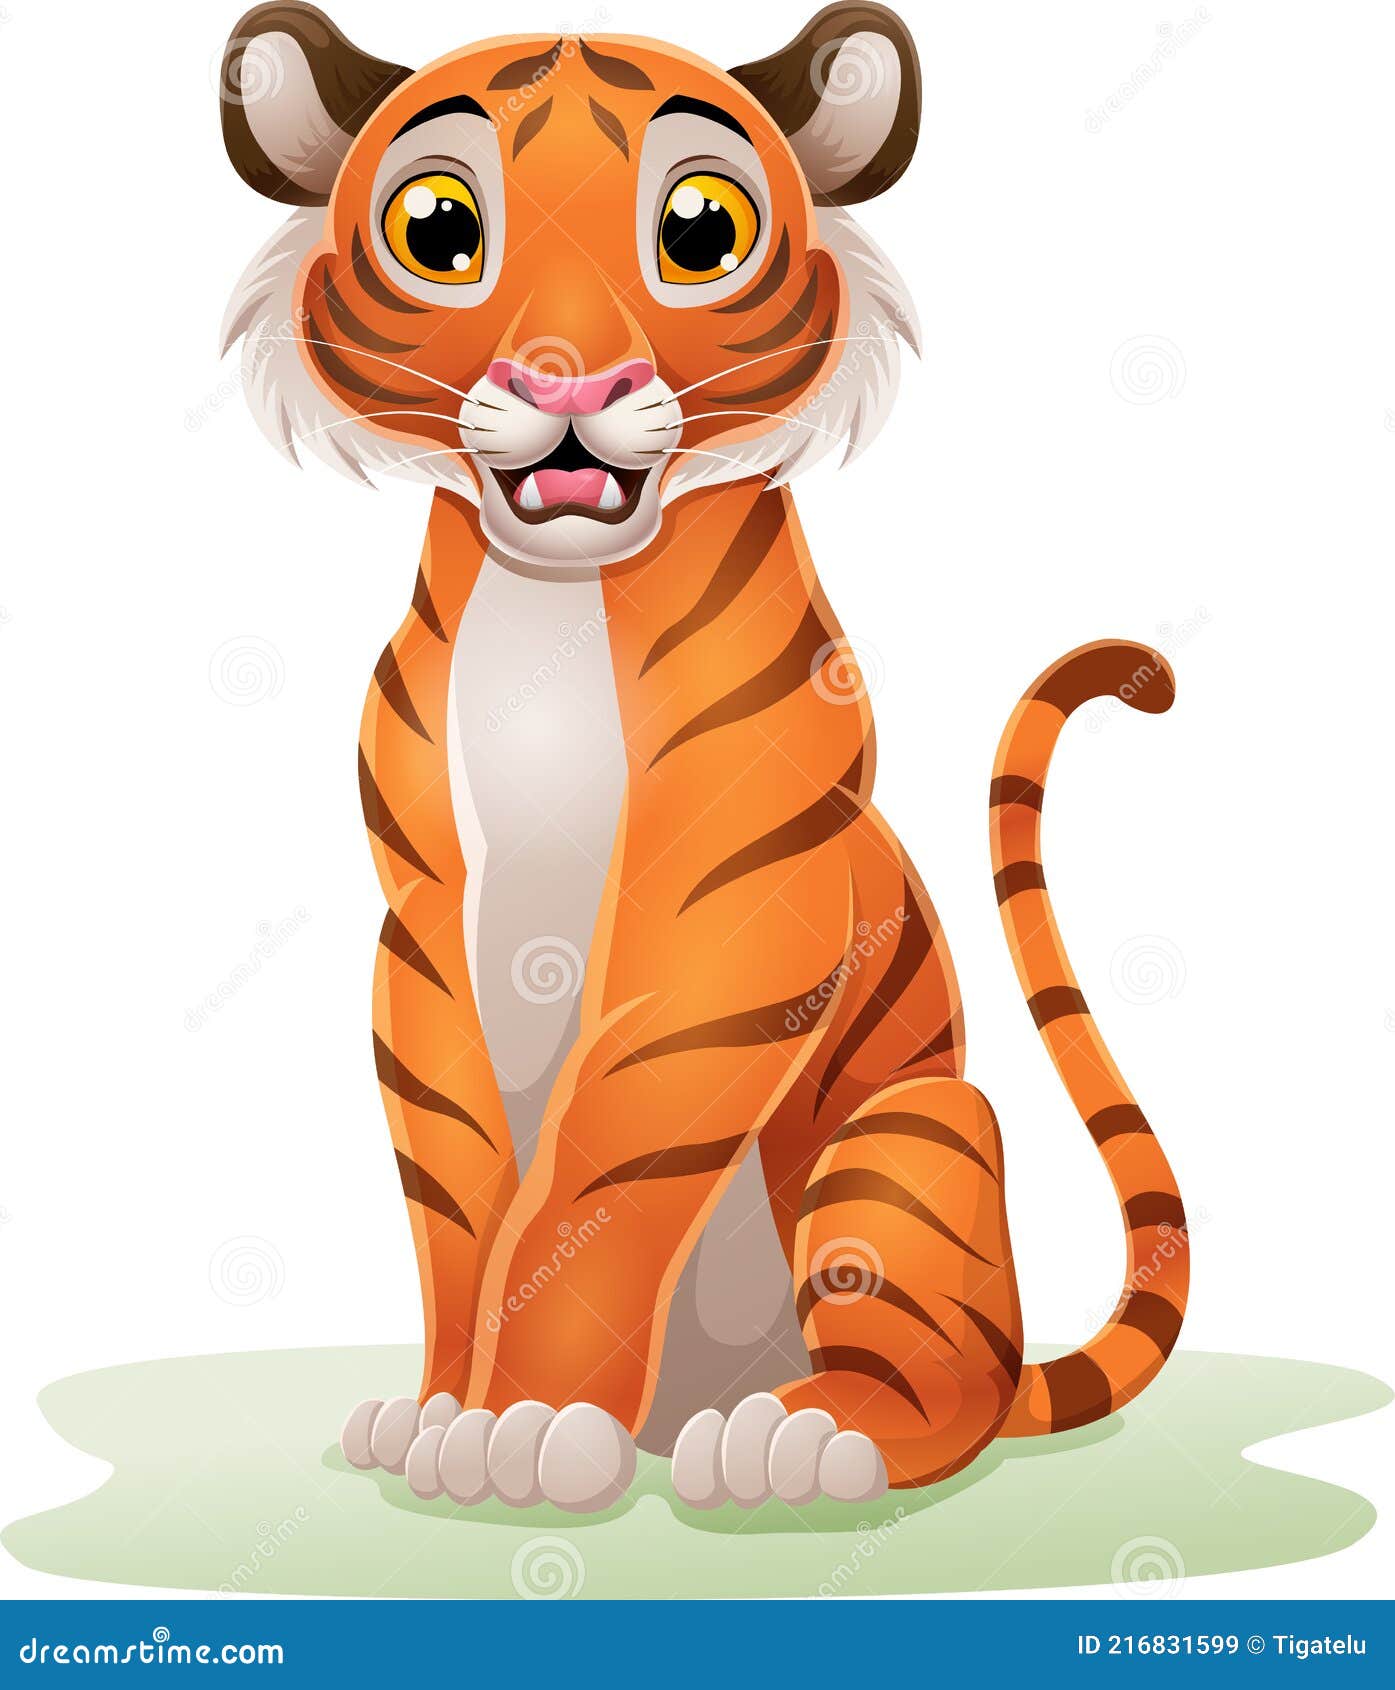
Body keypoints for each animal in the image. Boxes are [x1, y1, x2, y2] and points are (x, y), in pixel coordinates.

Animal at [218, 1, 1188, 1513]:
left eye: (699, 229)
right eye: (439, 228)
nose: (569, 383)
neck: (552, 595)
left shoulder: (724, 918)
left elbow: (589, 1187)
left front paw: (520, 1423)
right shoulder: (425, 926)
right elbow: (462, 1199)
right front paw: (437, 1410)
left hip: (905, 1135)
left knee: (951, 1391)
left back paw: (807, 1435)